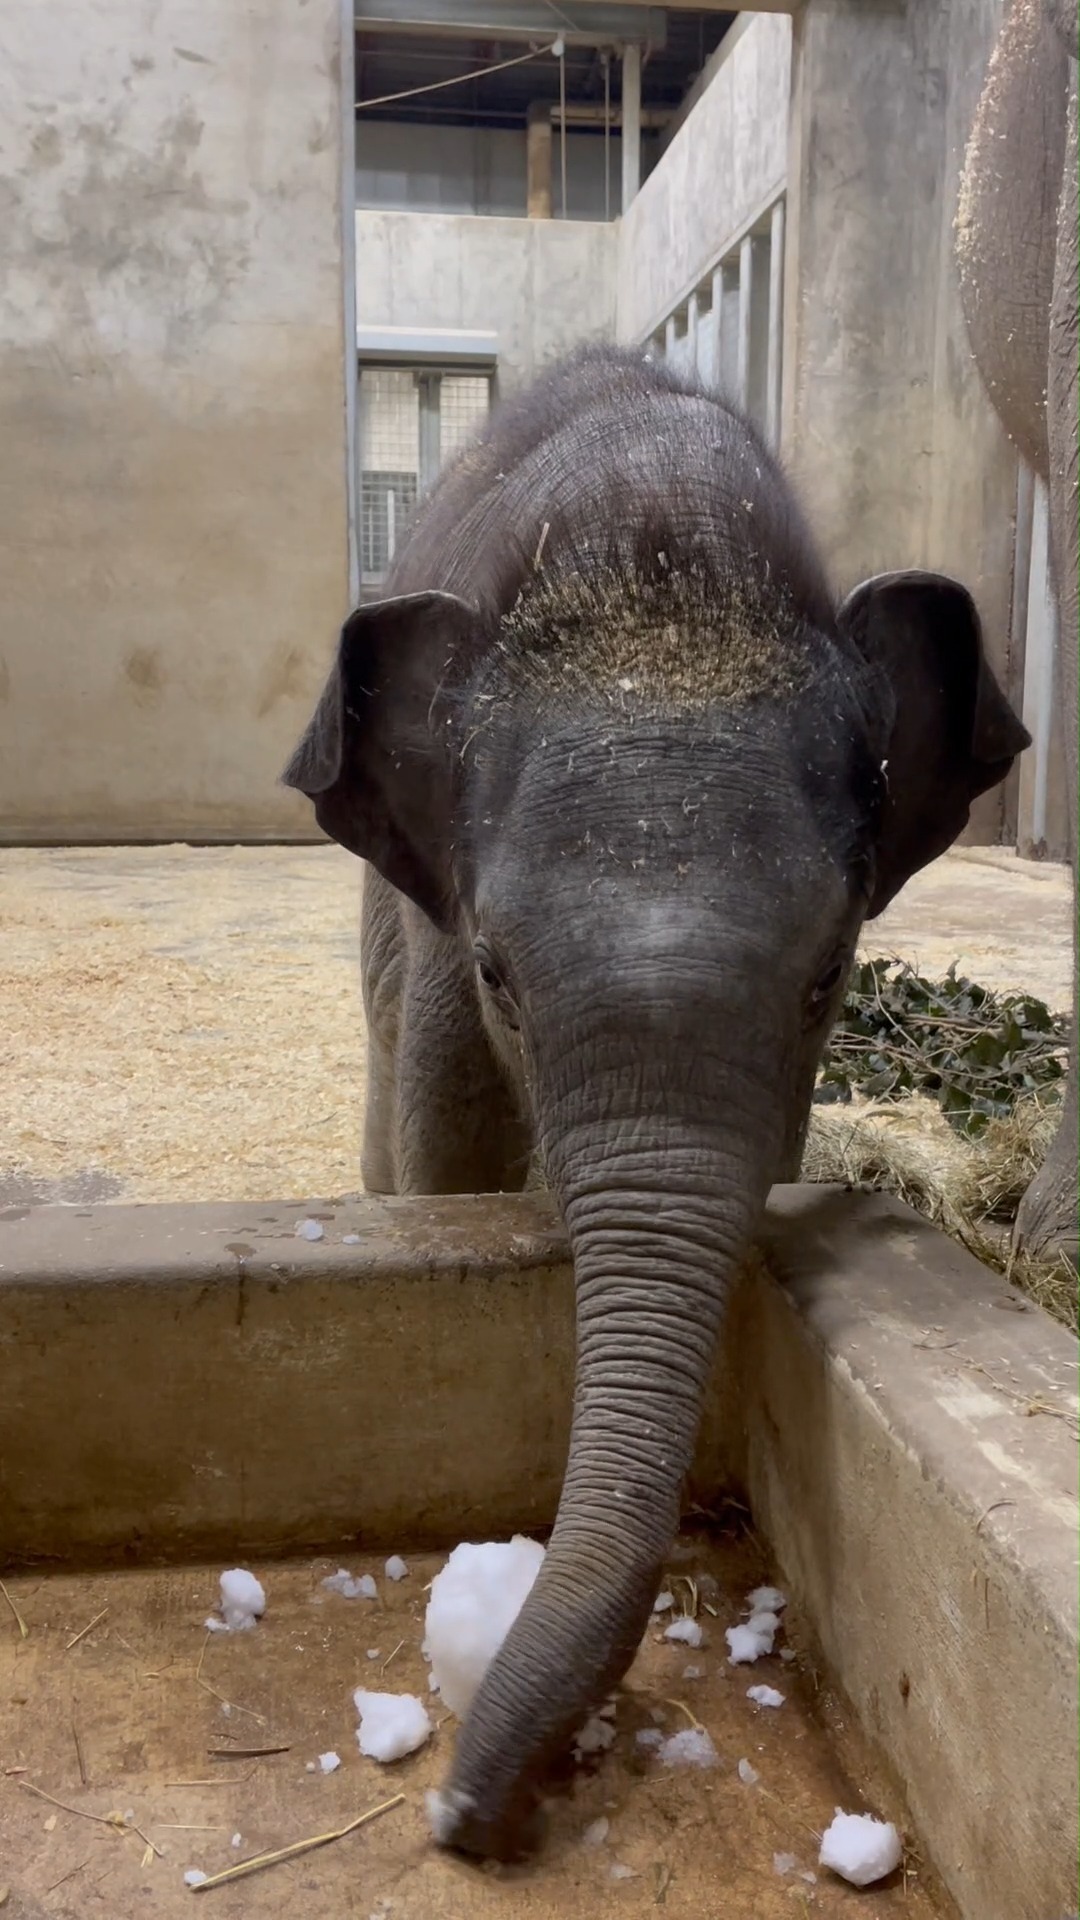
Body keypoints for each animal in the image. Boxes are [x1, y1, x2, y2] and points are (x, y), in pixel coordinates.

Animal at [284, 345, 1028, 1860]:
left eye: (830, 974)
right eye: (499, 973)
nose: (455, 1814)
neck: (656, 562)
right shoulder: (435, 976)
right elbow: (443, 1164)